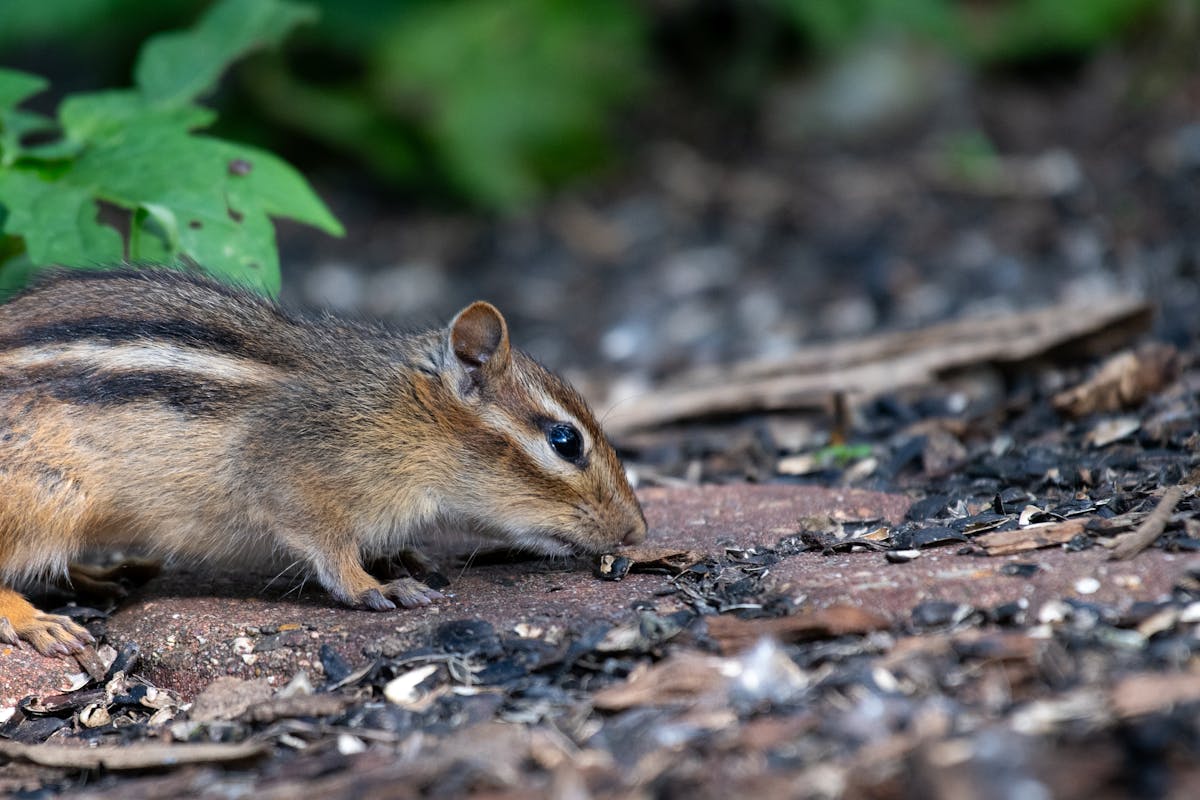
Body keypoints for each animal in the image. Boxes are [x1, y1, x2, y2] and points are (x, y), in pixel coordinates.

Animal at [0, 269, 646, 656]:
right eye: (564, 441)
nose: (638, 532)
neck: (408, 414)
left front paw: (397, 557)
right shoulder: (293, 484)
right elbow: (329, 551)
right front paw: (374, 587)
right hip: (43, 499)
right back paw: (37, 619)